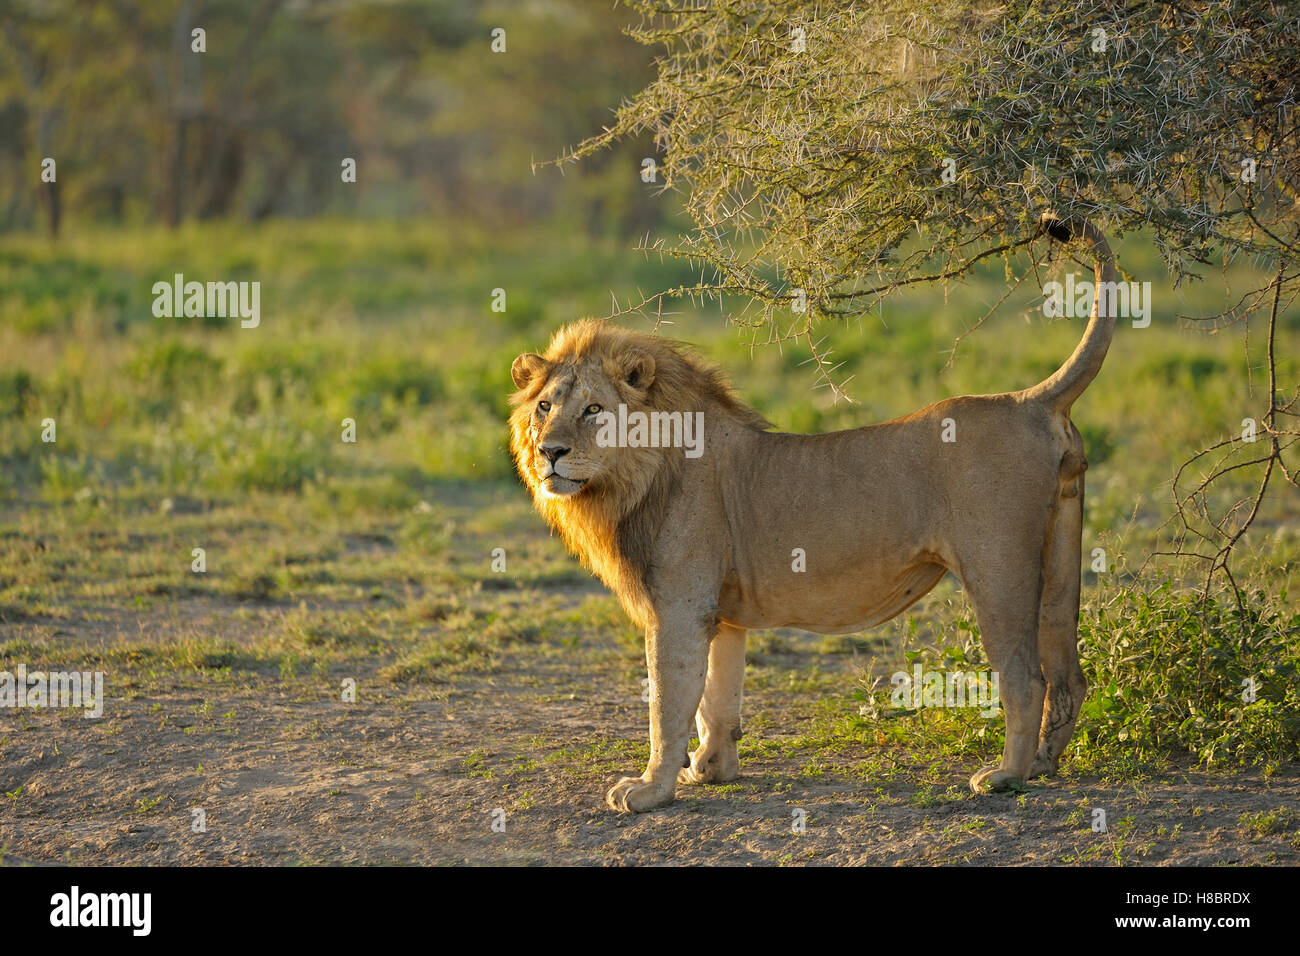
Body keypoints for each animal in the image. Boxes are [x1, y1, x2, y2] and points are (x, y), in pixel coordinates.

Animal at [509, 215, 1116, 812]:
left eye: (593, 409)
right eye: (544, 406)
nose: (549, 452)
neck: (631, 478)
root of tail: (1031, 400)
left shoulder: (678, 609)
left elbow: (668, 704)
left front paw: (649, 789)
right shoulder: (719, 614)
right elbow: (716, 699)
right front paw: (711, 770)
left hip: (998, 570)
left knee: (1027, 678)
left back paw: (1006, 777)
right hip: (1060, 558)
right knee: (1069, 675)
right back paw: (1042, 764)